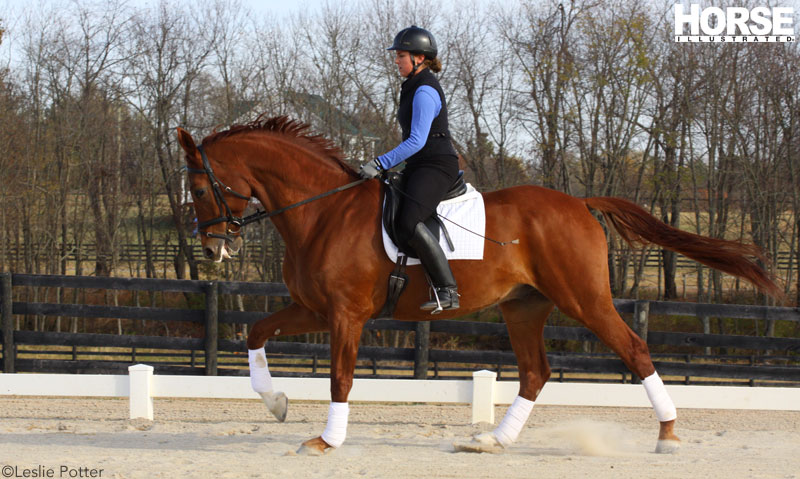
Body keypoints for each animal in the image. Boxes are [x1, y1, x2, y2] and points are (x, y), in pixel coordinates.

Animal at [176, 115, 781, 456]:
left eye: (201, 189)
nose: (212, 248)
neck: (322, 211)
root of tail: (579, 203)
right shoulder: (313, 308)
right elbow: (255, 333)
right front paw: (277, 402)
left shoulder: (345, 314)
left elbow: (341, 379)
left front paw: (328, 439)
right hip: (524, 307)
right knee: (536, 372)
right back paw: (493, 441)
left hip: (583, 299)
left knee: (633, 348)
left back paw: (668, 434)